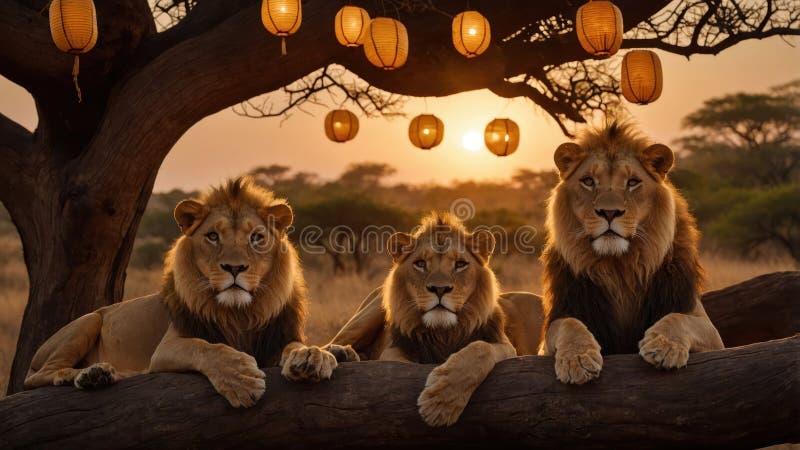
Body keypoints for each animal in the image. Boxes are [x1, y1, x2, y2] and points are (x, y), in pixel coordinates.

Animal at [24, 177, 357, 407]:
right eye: (212, 236)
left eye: (256, 237)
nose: (234, 267)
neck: (241, 313)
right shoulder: (167, 347)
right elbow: (206, 347)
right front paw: (241, 380)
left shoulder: (276, 339)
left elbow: (296, 346)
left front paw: (312, 356)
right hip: (88, 320)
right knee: (35, 377)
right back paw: (82, 374)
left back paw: (106, 374)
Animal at [349, 212, 517, 427]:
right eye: (420, 263)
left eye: (460, 264)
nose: (439, 288)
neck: (444, 332)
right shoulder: (392, 351)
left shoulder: (507, 348)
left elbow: (481, 348)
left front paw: (440, 403)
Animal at [540, 121, 724, 384]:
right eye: (588, 181)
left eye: (633, 182)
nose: (609, 212)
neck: (619, 269)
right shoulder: (555, 324)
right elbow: (569, 324)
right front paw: (578, 358)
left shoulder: (710, 332)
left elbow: (679, 318)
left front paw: (663, 346)